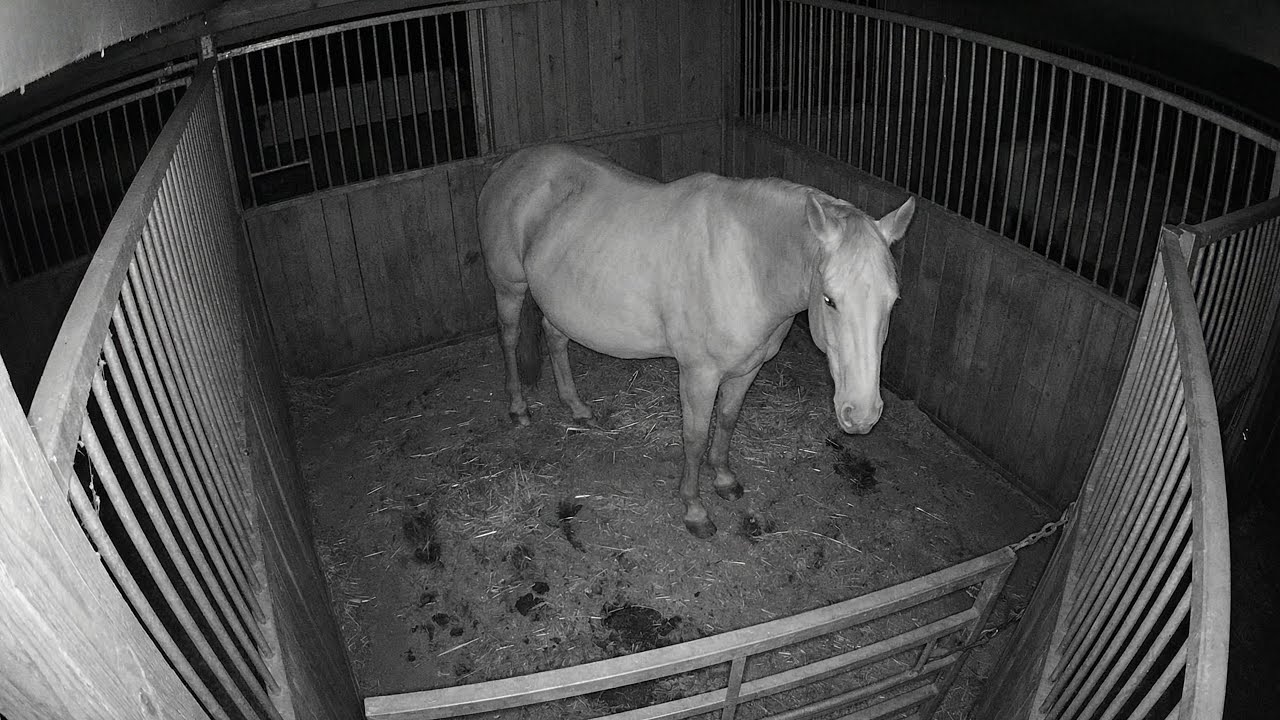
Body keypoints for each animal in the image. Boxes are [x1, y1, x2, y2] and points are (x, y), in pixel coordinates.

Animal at [477, 144, 915, 538]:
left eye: (893, 300)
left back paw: (577, 407)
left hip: (562, 302)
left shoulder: (748, 367)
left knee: (555, 339)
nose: (861, 414)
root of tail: (510, 163)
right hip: (509, 288)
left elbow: (727, 420)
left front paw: (723, 479)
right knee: (509, 338)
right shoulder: (698, 374)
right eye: (829, 299)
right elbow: (694, 437)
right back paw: (518, 408)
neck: (746, 264)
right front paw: (694, 511)